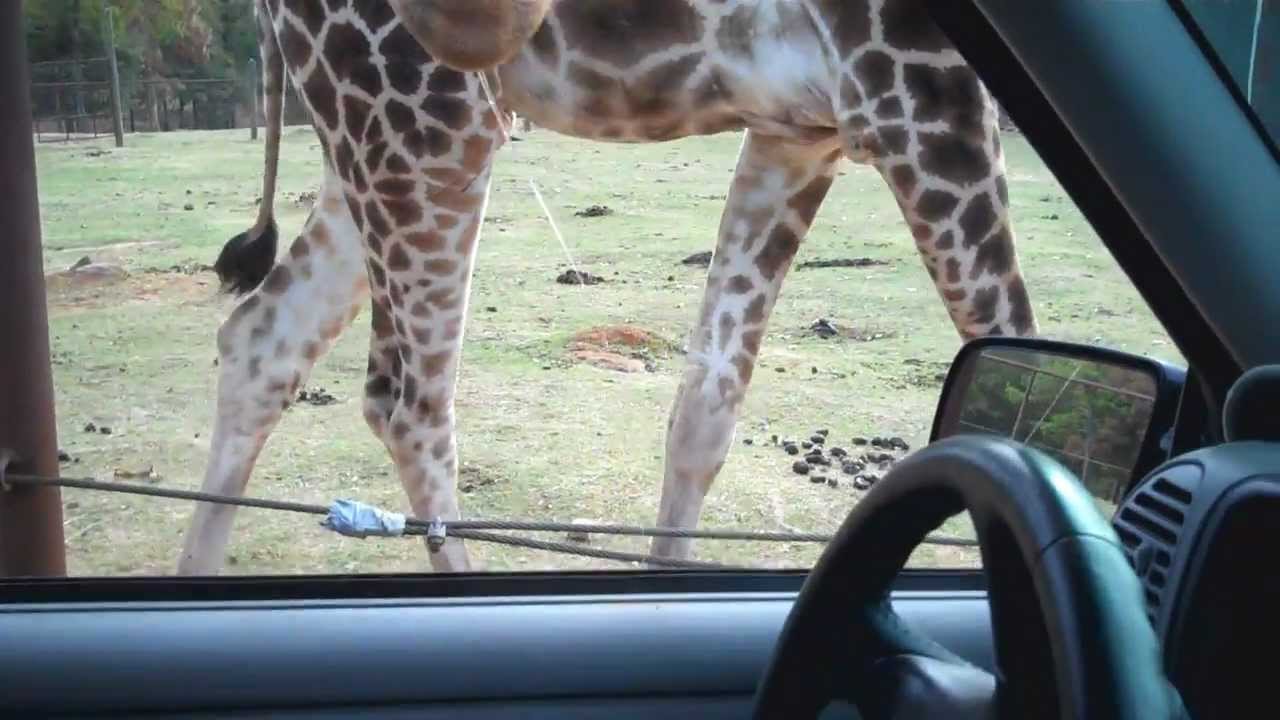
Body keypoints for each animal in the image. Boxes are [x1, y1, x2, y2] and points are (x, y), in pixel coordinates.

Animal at [176, 0, 1037, 574]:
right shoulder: (915, 82)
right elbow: (1013, 360)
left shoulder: (799, 130)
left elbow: (704, 411)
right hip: (429, 107)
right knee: (405, 402)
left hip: (360, 125)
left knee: (261, 340)